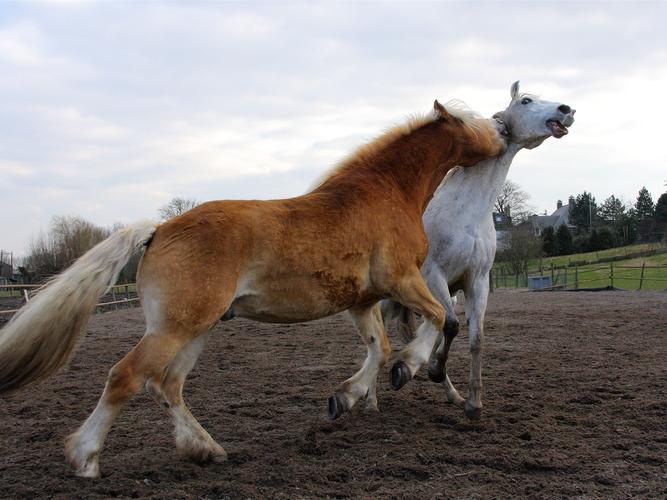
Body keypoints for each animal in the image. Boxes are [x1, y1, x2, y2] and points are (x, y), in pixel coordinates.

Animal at [0, 98, 506, 478]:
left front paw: (346, 397)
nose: (501, 131)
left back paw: (207, 449)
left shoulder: (361, 302)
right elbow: (436, 318)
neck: (386, 192)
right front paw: (408, 367)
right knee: (126, 377)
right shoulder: (402, 280)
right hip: (175, 328)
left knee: (167, 385)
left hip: (197, 329)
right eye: (474, 119)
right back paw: (86, 458)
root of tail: (159, 230)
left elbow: (378, 348)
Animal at [383, 81, 576, 419]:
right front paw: (434, 371)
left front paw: (472, 403)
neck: (468, 213)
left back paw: (447, 392)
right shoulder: (435, 276)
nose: (566, 110)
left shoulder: (477, 281)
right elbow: (452, 325)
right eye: (526, 101)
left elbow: (475, 338)